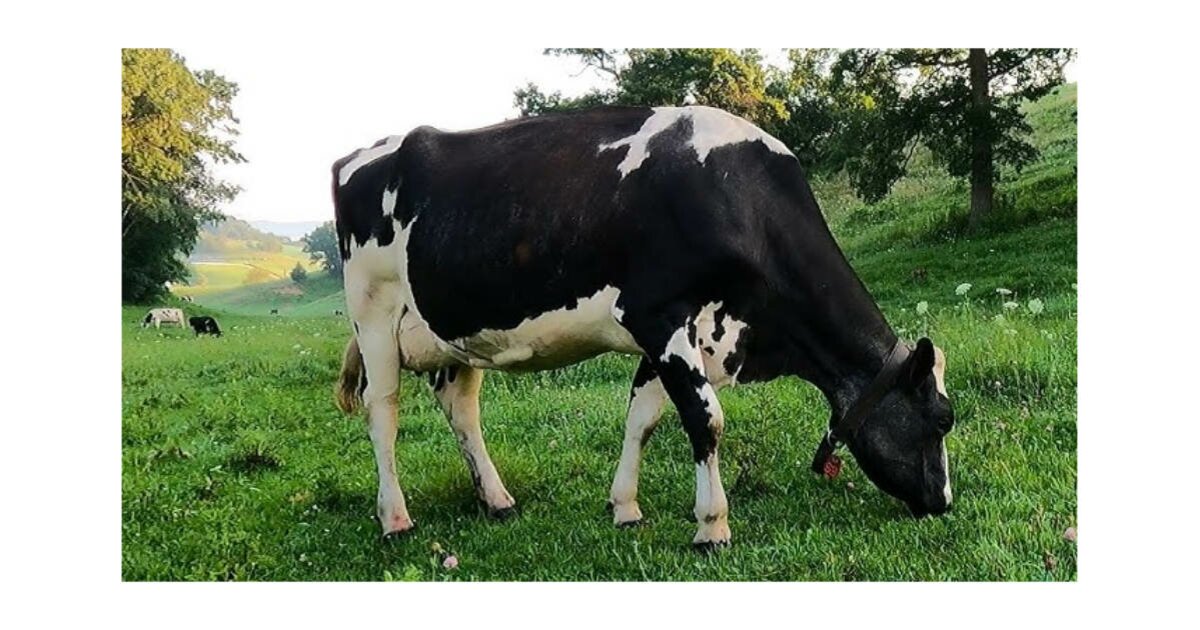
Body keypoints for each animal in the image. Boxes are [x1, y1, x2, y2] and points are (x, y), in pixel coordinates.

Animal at [331, 105, 955, 549]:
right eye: (943, 420)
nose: (943, 502)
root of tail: (363, 153)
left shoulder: (676, 334)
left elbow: (643, 419)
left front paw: (626, 508)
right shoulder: (658, 315)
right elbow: (706, 421)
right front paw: (711, 526)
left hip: (454, 332)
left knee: (460, 407)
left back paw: (497, 500)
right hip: (373, 309)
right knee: (383, 413)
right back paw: (395, 518)